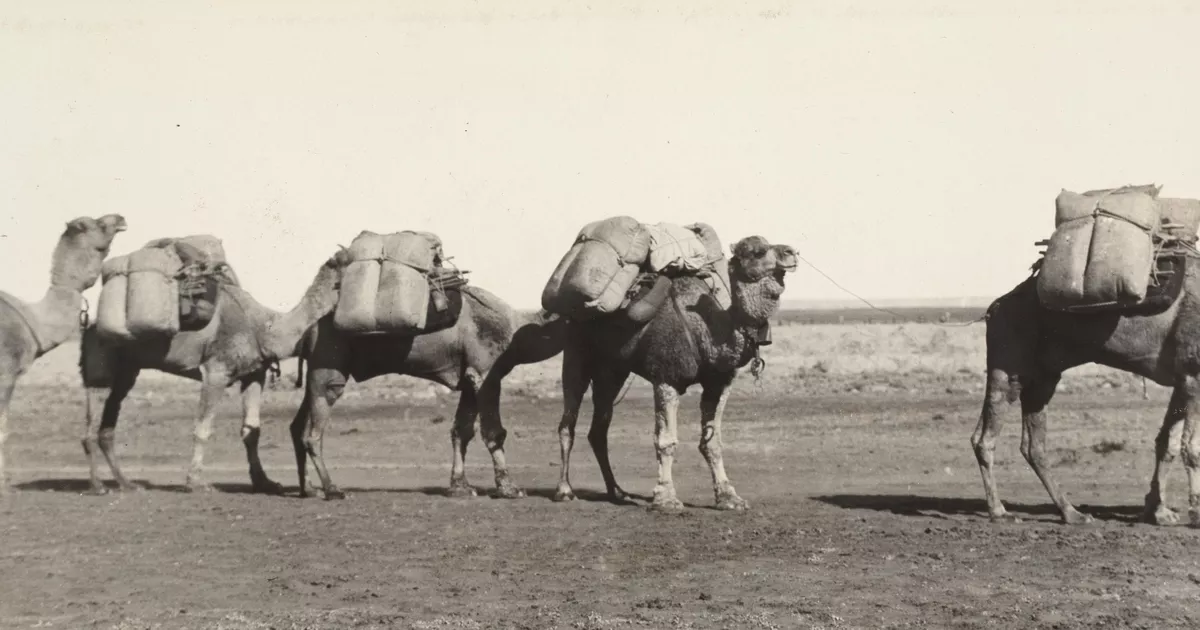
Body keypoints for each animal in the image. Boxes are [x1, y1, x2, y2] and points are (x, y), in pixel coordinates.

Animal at [79, 248, 349, 495]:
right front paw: (195, 483)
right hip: (101, 365)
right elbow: (203, 429)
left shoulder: (253, 375)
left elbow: (252, 430)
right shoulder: (216, 372)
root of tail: (88, 326)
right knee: (93, 418)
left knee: (107, 426)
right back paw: (97, 486)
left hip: (127, 371)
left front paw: (265, 482)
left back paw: (127, 484)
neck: (264, 327)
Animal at [289, 285, 567, 500]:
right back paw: (332, 490)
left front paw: (460, 487)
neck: (518, 327)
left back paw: (309, 490)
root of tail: (307, 333)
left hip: (316, 370)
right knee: (314, 432)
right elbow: (494, 432)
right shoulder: (485, 371)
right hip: (327, 365)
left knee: (298, 426)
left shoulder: (469, 379)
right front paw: (509, 488)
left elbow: (461, 431)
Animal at [554, 236, 798, 511]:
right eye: (757, 252)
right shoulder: (666, 377)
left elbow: (713, 442)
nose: (791, 252)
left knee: (598, 429)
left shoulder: (719, 383)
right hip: (576, 352)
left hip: (613, 369)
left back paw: (618, 492)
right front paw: (666, 499)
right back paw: (564, 490)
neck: (710, 329)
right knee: (568, 421)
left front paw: (729, 497)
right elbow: (666, 440)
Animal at [971, 260, 1200, 527]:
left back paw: (1072, 513)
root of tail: (995, 307)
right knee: (986, 438)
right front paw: (1195, 513)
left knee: (1029, 445)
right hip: (1010, 365)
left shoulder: (1182, 380)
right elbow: (1191, 448)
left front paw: (1159, 512)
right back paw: (1000, 512)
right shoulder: (1193, 376)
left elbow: (1167, 443)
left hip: (1044, 376)